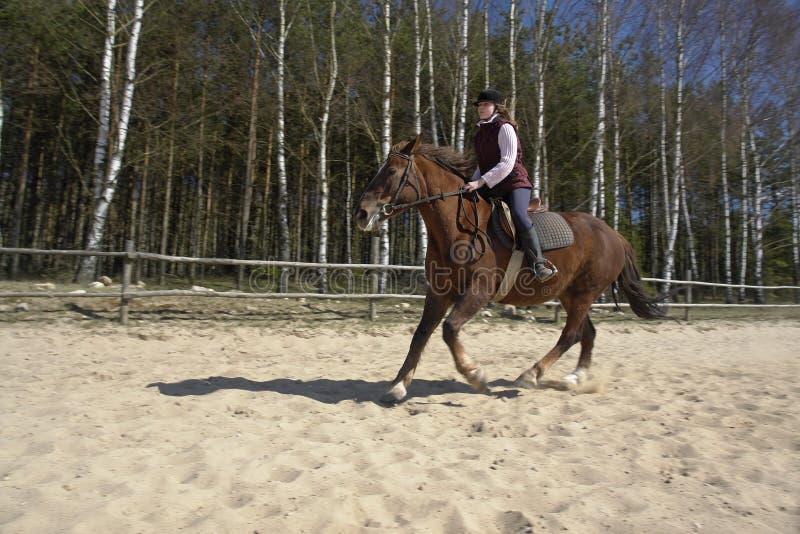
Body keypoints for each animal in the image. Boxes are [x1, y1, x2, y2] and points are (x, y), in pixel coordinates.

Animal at [354, 136, 664, 404]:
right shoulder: (439, 293)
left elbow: (449, 329)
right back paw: (575, 377)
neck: (457, 228)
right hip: (571, 295)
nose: (361, 214)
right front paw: (398, 385)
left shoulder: (479, 290)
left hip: (584, 294)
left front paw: (475, 375)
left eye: (391, 171)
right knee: (586, 334)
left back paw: (531, 375)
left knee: (571, 335)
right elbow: (421, 334)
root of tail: (615, 235)